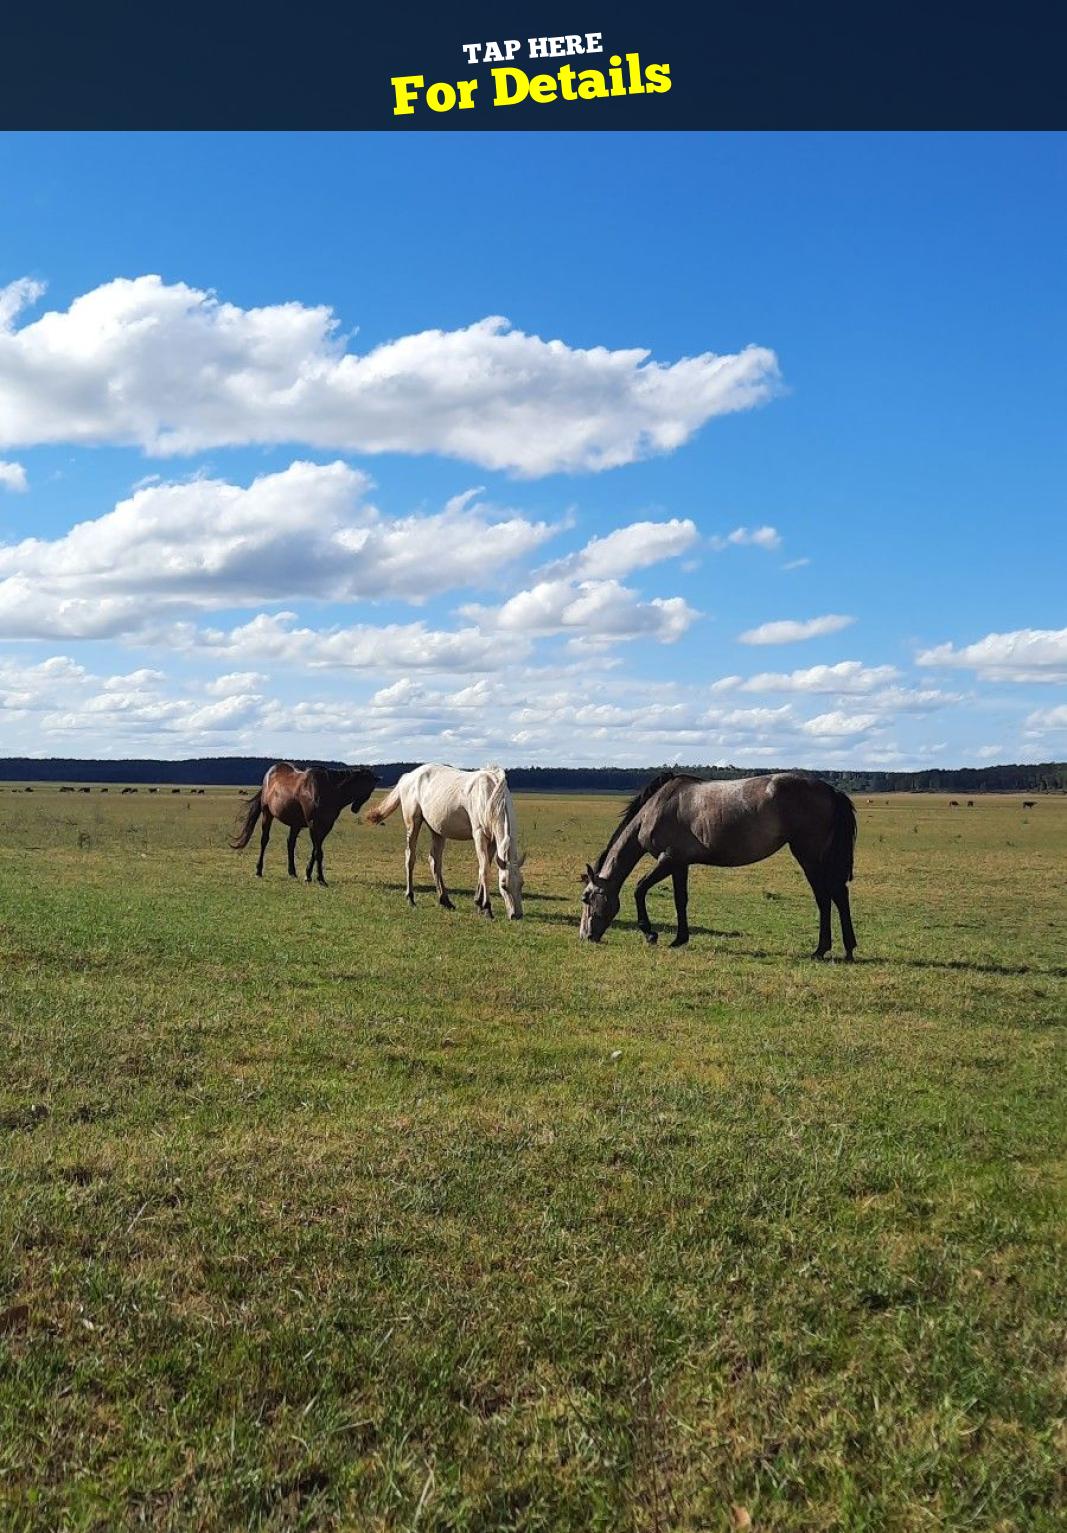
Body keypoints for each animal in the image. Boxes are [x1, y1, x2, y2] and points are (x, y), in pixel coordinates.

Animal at [231, 760, 377, 883]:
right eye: (363, 785)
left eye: (370, 788)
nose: (355, 808)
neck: (326, 789)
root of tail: (269, 774)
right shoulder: (313, 824)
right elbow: (318, 852)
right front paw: (320, 878)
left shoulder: (326, 826)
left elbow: (315, 851)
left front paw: (309, 875)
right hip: (267, 814)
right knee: (264, 840)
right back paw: (259, 870)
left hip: (295, 824)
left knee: (290, 843)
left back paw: (292, 872)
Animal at [366, 760, 524, 913]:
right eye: (503, 885)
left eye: (522, 884)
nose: (516, 915)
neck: (491, 794)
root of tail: (408, 776)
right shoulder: (479, 834)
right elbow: (484, 869)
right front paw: (486, 907)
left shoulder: (492, 840)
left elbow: (484, 867)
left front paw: (478, 902)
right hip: (413, 824)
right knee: (410, 857)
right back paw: (410, 898)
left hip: (437, 831)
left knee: (434, 861)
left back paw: (445, 900)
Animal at [579, 772, 852, 962]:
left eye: (586, 898)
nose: (585, 936)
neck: (656, 808)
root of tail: (831, 790)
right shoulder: (680, 864)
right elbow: (680, 899)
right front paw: (679, 939)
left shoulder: (668, 860)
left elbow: (639, 889)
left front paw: (650, 934)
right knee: (838, 895)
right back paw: (847, 949)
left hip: (809, 856)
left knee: (825, 897)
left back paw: (821, 950)